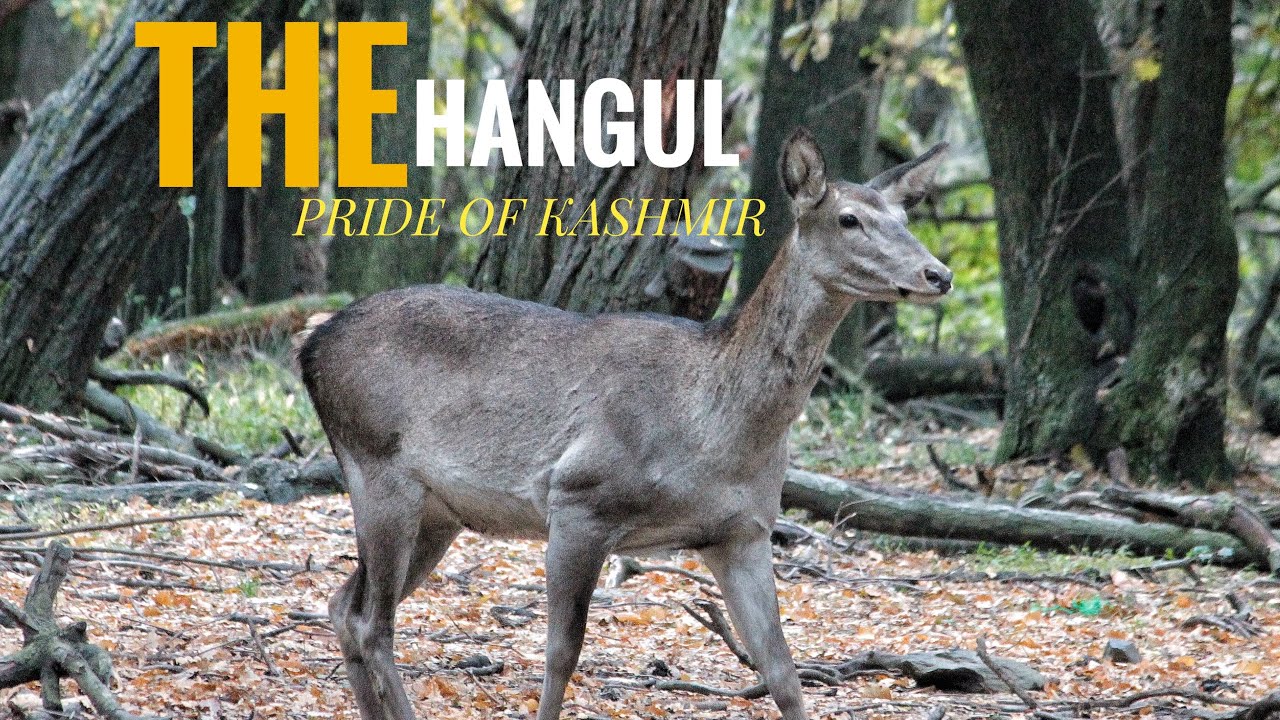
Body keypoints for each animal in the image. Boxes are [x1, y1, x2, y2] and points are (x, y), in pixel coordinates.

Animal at [298, 128, 952, 720]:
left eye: (904, 216)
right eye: (848, 219)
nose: (938, 274)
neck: (719, 430)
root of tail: (310, 344)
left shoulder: (741, 531)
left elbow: (783, 672)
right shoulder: (578, 498)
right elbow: (561, 655)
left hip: (440, 512)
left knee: (343, 605)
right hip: (378, 467)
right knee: (374, 622)